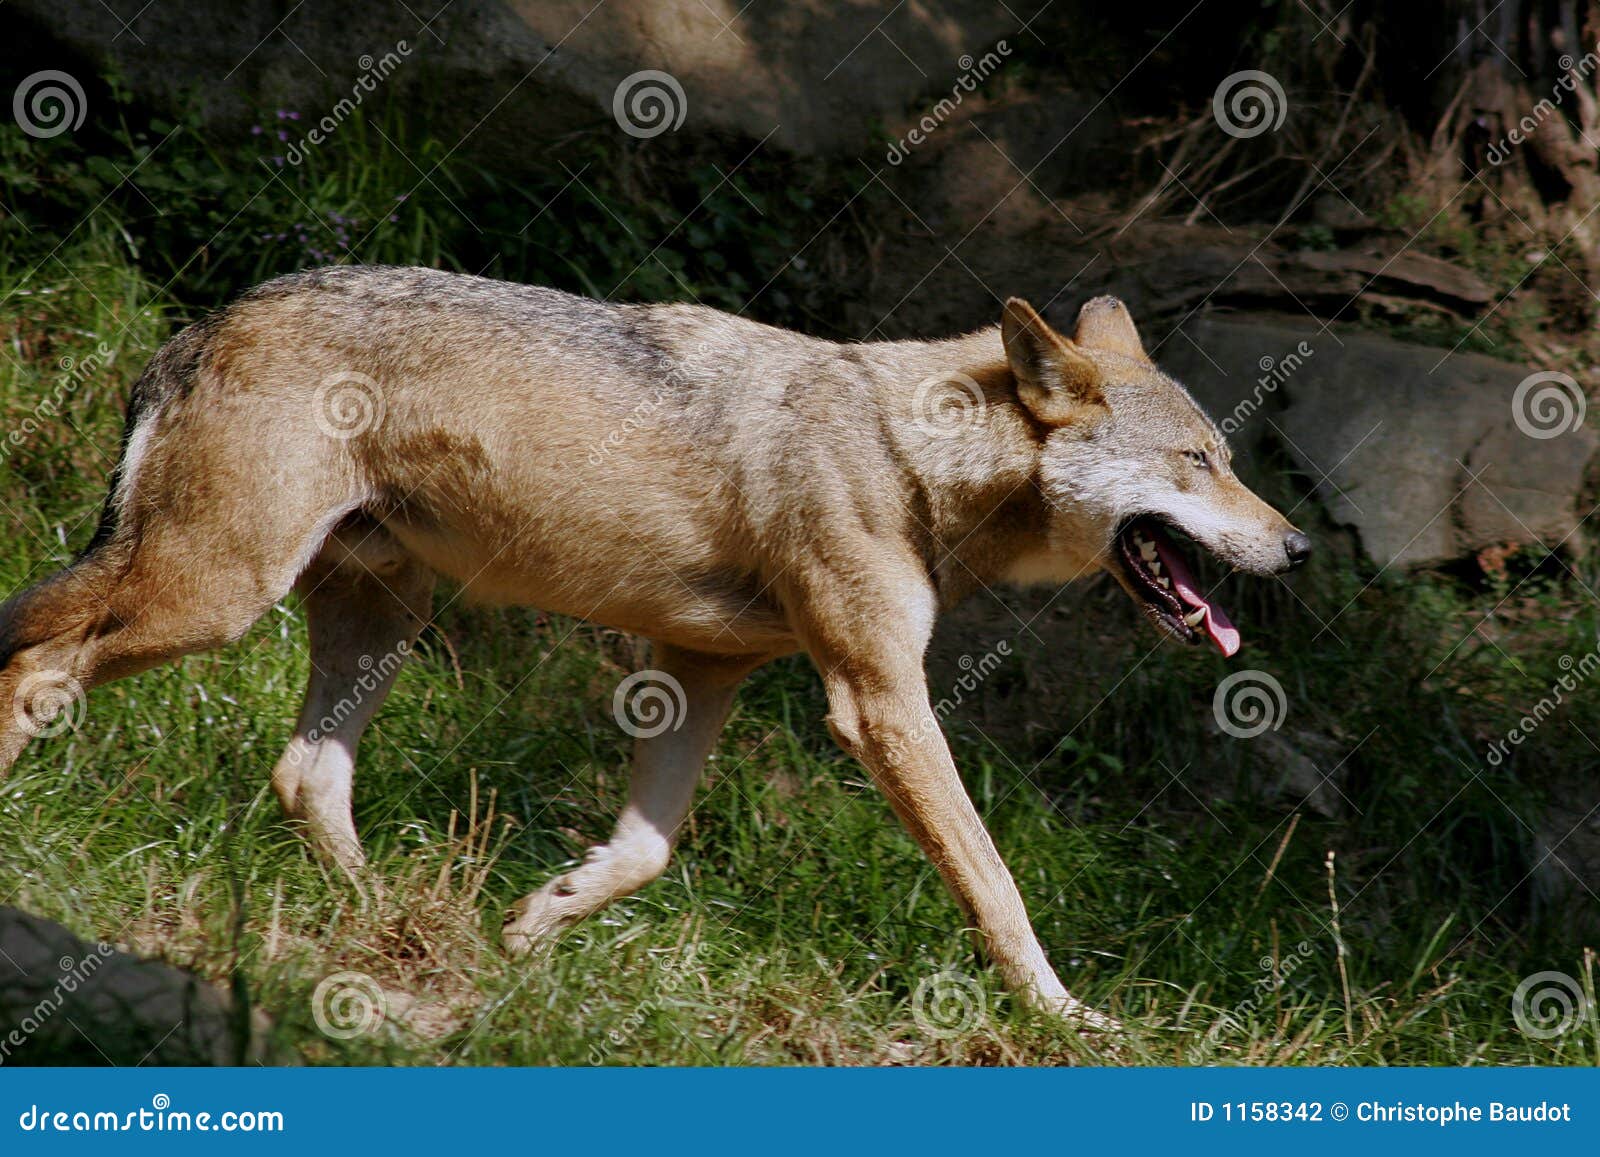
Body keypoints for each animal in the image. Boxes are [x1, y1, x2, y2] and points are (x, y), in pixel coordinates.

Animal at [0, 267, 1307, 1027]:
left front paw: (533, 923)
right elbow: (996, 882)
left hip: (376, 619)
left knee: (303, 770)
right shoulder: (878, 701)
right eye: (1200, 461)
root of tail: (205, 318)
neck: (909, 455)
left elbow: (644, 851)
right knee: (35, 667)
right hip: (213, 598)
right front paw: (1064, 1018)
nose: (1295, 548)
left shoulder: (697, 677)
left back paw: (392, 925)